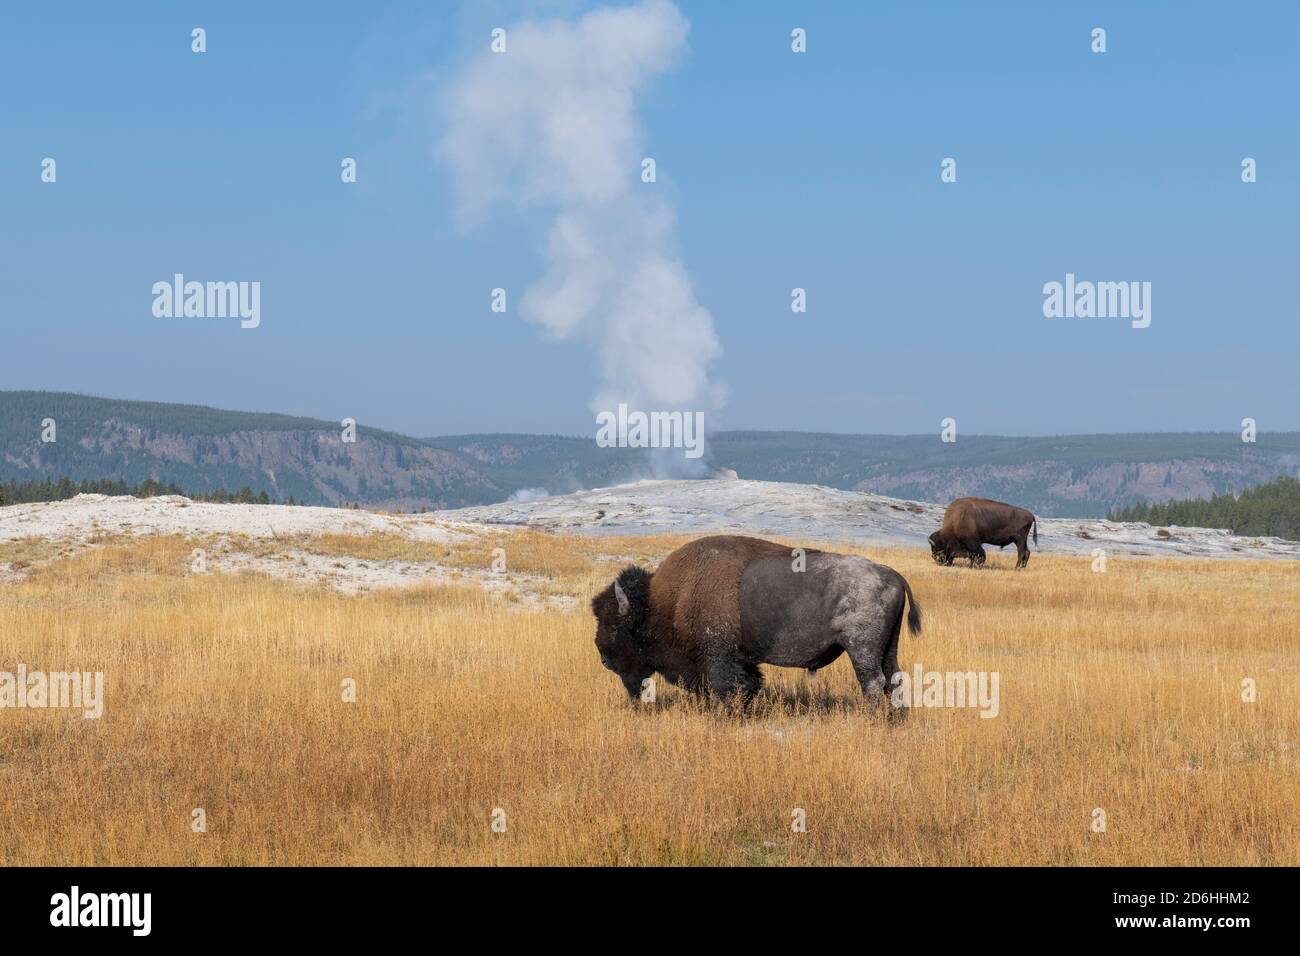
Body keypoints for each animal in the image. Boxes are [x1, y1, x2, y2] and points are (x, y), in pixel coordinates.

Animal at [590, 535, 921, 710]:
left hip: (861, 648)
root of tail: (891, 573)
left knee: (872, 682)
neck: (665, 602)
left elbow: (728, 686)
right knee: (893, 678)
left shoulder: (719, 658)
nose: (603, 658)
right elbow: (750, 684)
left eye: (615, 625)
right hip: (888, 647)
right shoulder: (743, 660)